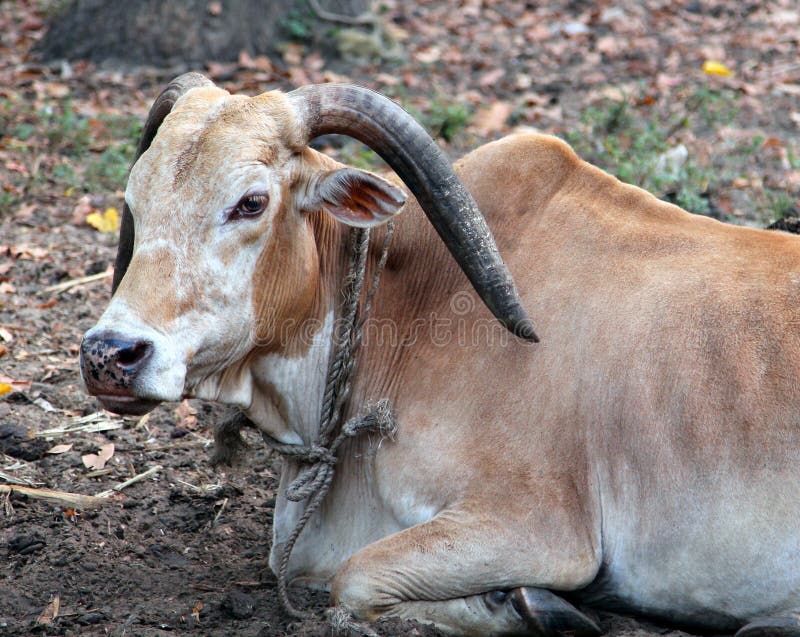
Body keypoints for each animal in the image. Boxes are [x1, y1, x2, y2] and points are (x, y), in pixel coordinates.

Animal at [79, 73, 800, 637]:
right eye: (136, 199)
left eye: (251, 202)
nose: (111, 354)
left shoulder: (541, 525)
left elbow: (355, 581)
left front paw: (536, 606)